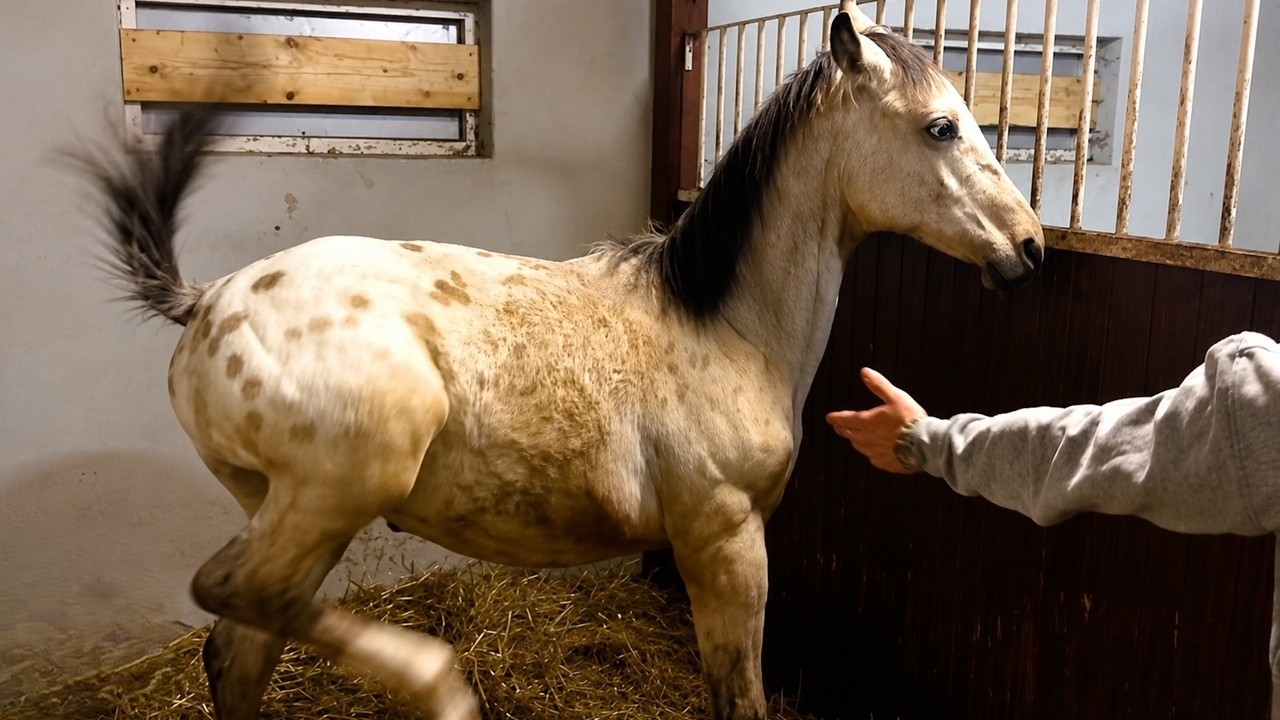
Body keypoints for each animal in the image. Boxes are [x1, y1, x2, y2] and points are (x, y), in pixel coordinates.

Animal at [89, 8, 1042, 720]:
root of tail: (206, 300)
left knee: (240, 647)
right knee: (227, 594)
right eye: (940, 126)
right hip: (332, 496)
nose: (1029, 248)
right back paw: (436, 682)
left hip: (294, 514)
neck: (723, 325)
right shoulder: (725, 540)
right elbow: (738, 695)